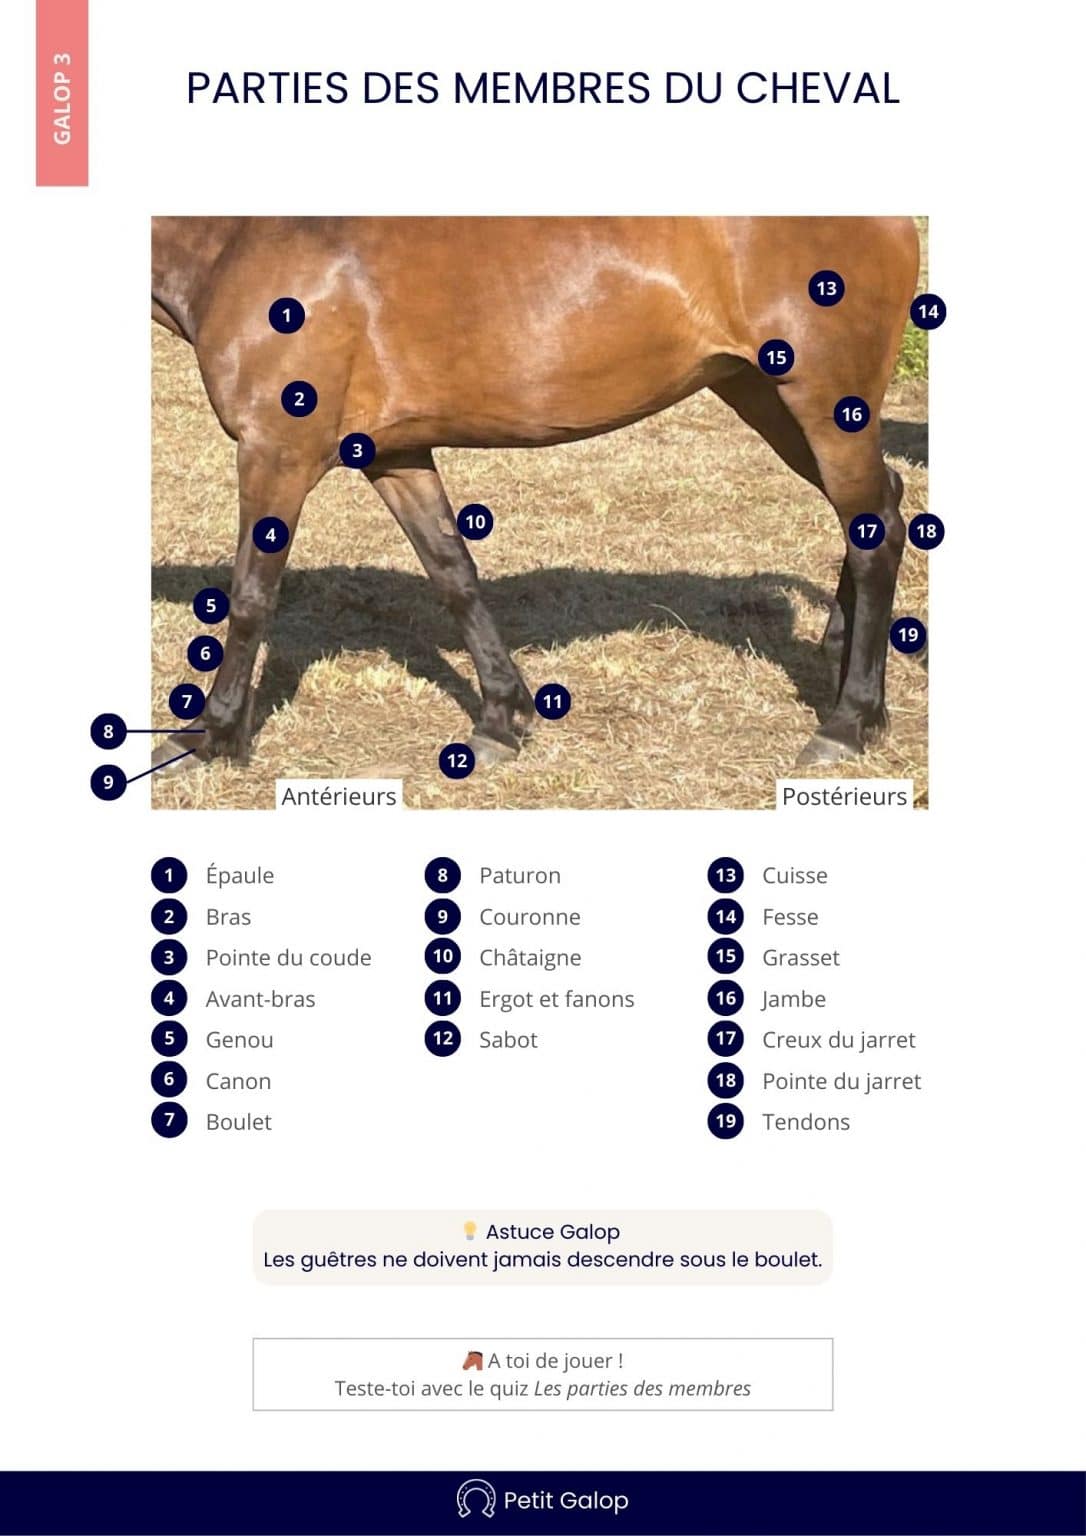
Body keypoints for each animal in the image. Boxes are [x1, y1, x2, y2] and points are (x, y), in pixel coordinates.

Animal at [151, 216, 920, 774]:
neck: (239, 241)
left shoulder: (276, 452)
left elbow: (252, 597)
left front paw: (207, 736)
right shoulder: (395, 454)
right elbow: (453, 574)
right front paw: (499, 718)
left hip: (820, 400)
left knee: (875, 525)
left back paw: (848, 722)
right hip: (762, 394)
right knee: (876, 506)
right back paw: (841, 659)